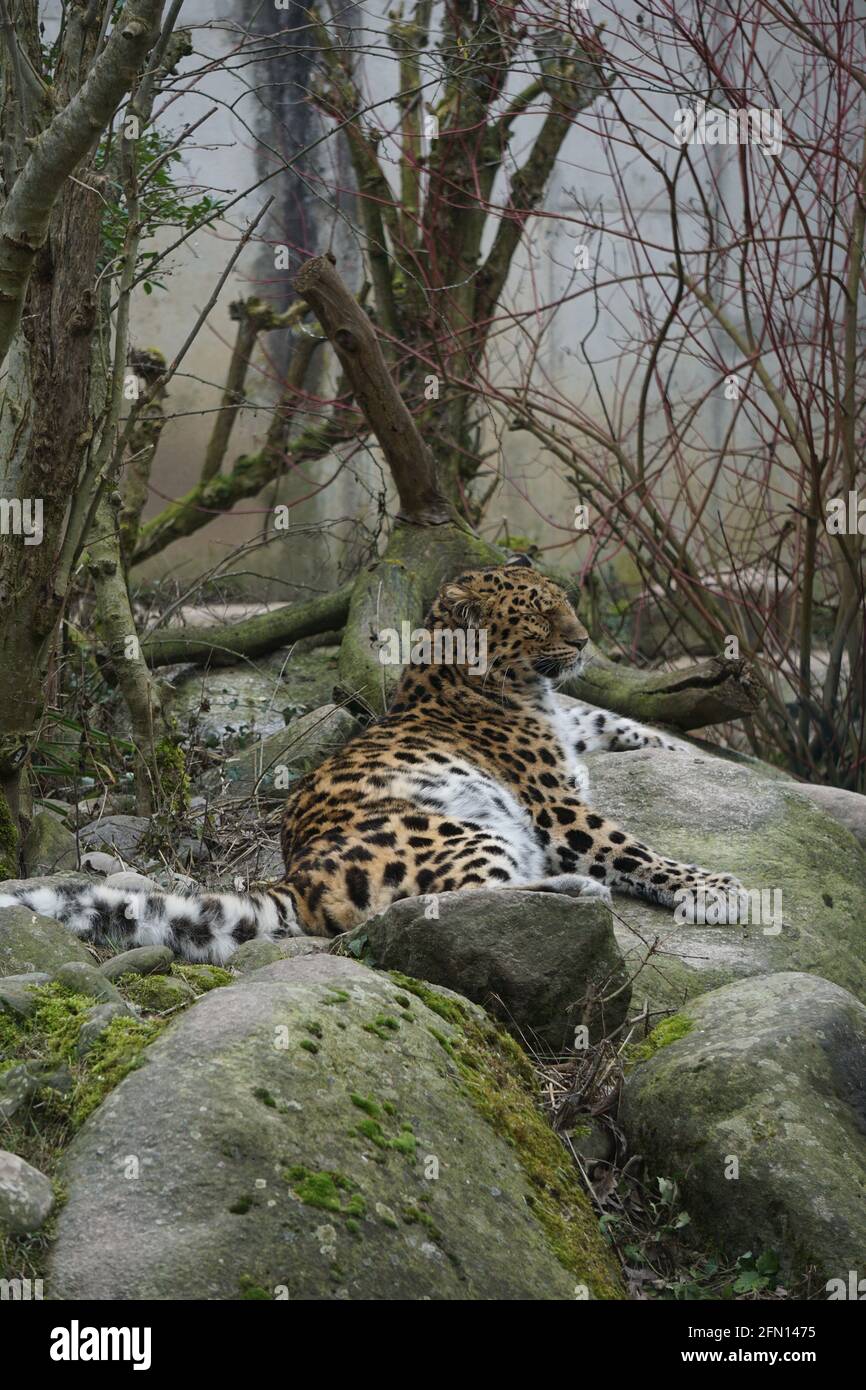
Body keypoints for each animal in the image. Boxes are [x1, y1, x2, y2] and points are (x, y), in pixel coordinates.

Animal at [0, 560, 744, 962]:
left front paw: (693, 750)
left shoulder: (568, 727)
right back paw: (575, 890)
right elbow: (631, 848)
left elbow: (615, 721)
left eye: (564, 602)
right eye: (538, 615)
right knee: (447, 904)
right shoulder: (554, 804)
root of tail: (298, 878)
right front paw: (717, 889)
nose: (585, 640)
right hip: (466, 829)